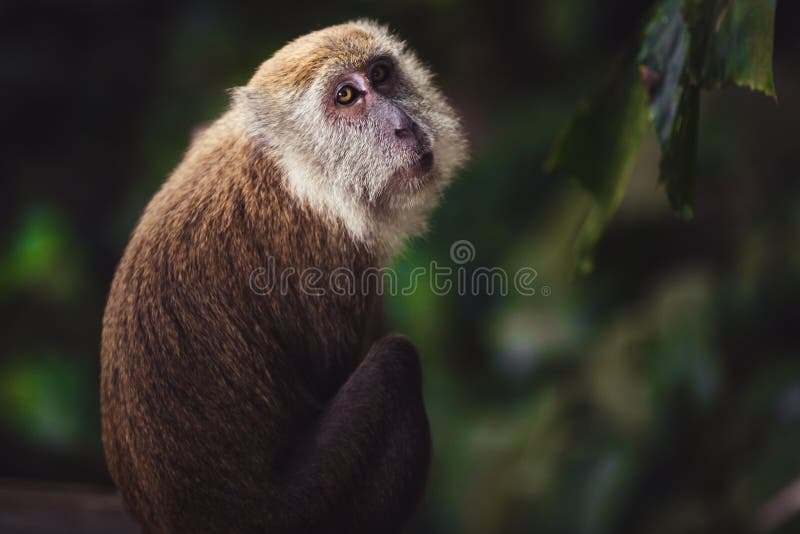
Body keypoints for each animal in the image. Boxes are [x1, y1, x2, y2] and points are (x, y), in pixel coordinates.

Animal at [100, 20, 467, 534]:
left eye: (380, 74)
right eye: (347, 96)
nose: (404, 126)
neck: (294, 172)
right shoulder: (329, 254)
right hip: (303, 508)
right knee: (396, 364)